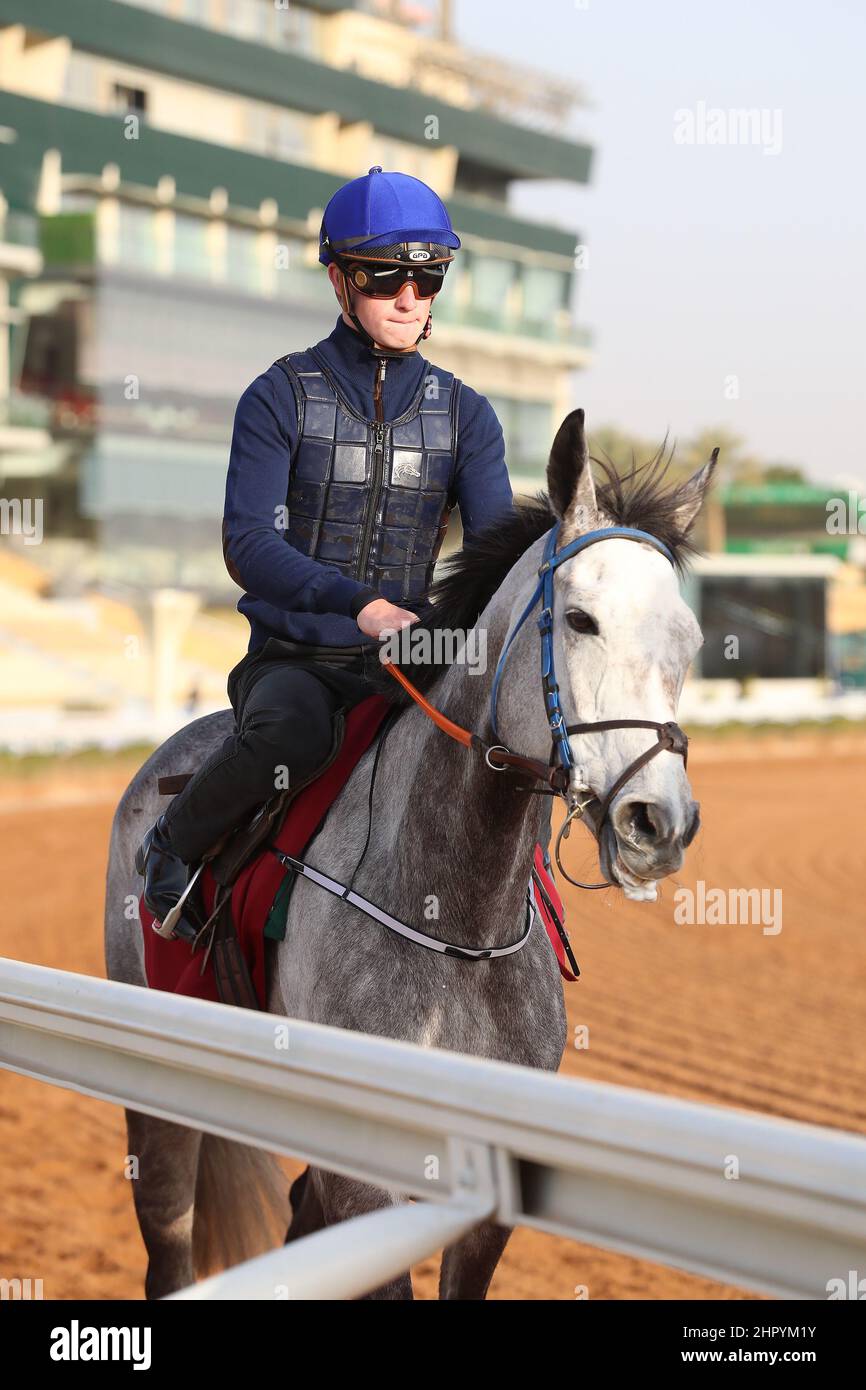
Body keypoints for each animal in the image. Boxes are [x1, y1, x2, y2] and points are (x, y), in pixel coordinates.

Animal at [104, 408, 715, 1299]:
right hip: (157, 1090)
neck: (454, 919)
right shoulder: (367, 1181)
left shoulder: (481, 1191)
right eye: (580, 620)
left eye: (690, 638)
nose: (657, 821)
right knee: (169, 1245)